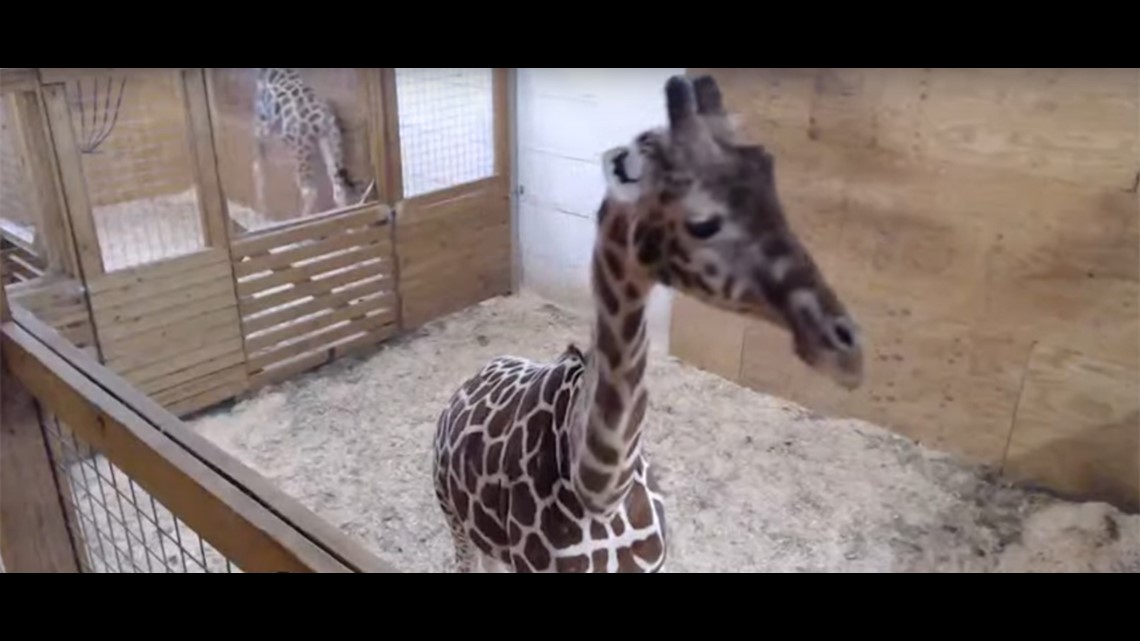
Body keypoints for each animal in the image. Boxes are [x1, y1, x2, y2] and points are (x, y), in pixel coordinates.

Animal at [251, 68, 359, 217]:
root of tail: (321, 120)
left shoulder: (262, 123)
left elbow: (258, 163)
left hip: (301, 151)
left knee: (309, 191)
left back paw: (302, 218)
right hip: (331, 141)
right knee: (338, 186)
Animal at [432, 74, 865, 573]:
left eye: (772, 184)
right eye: (701, 222)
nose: (847, 348)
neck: (602, 495)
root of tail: (468, 382)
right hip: (453, 515)